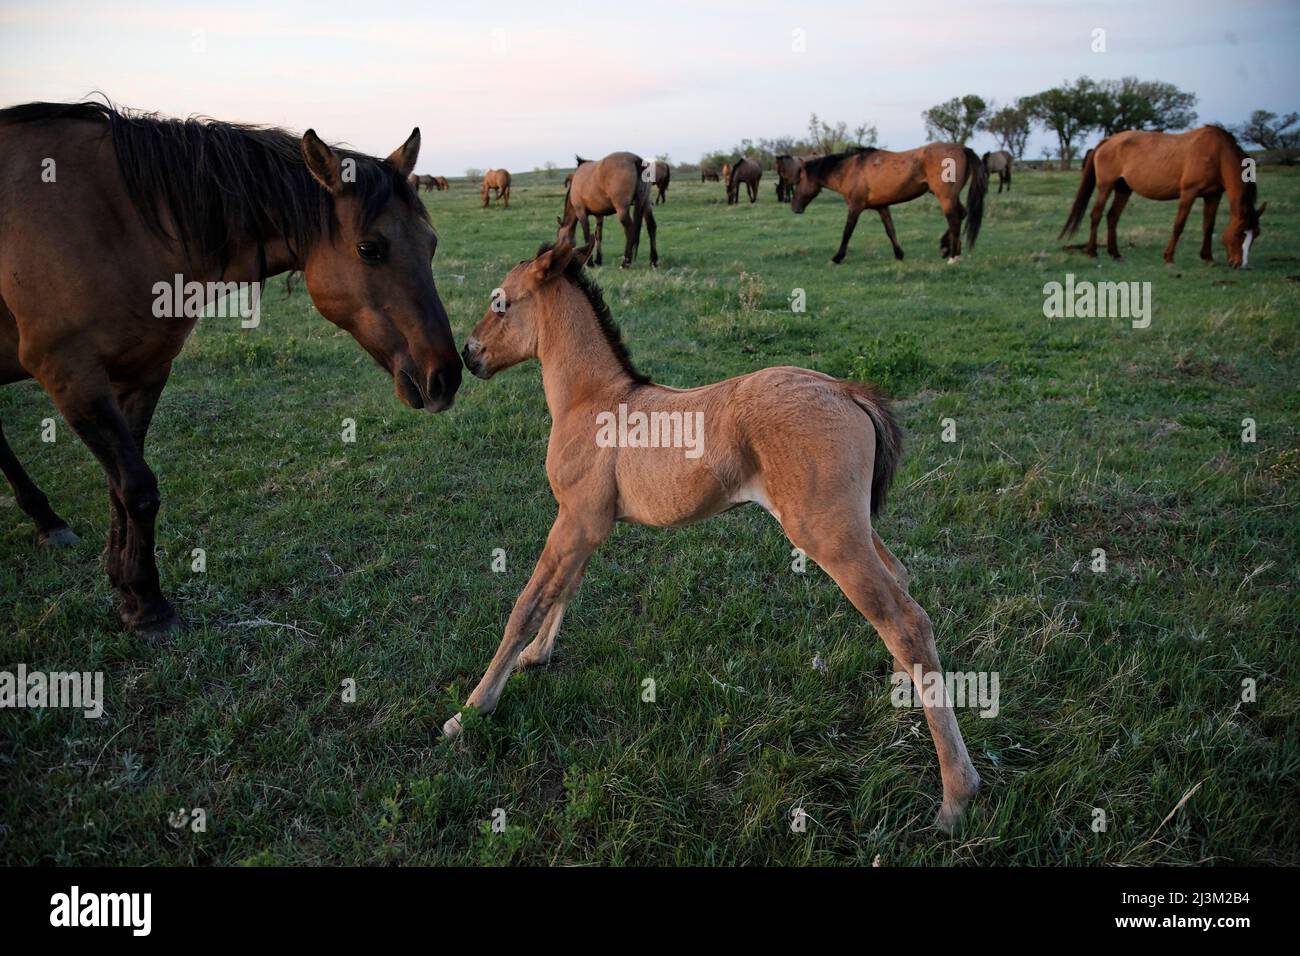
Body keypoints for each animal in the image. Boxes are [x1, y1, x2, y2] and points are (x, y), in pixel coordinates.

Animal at [0, 101, 462, 637]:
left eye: (431, 244)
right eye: (370, 248)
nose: (446, 376)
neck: (118, 221)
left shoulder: (144, 372)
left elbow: (120, 489)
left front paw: (125, 585)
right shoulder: (70, 374)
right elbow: (137, 486)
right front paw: (148, 604)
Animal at [448, 235, 982, 833]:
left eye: (500, 302)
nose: (468, 354)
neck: (594, 400)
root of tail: (847, 391)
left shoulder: (576, 520)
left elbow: (527, 602)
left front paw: (470, 710)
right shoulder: (587, 523)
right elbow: (563, 590)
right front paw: (536, 658)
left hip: (826, 534)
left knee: (905, 620)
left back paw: (956, 797)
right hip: (853, 523)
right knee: (901, 583)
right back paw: (898, 695)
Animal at [791, 144, 988, 263]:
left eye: (798, 181)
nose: (794, 207)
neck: (850, 169)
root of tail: (963, 148)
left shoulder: (855, 207)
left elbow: (847, 232)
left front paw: (837, 257)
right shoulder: (882, 207)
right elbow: (890, 231)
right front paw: (899, 254)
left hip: (945, 198)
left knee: (954, 220)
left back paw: (953, 256)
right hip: (949, 197)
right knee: (962, 214)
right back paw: (946, 249)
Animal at [1059, 126, 1266, 267]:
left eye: (1256, 234)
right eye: (1240, 233)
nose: (1240, 264)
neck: (1217, 153)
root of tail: (1107, 141)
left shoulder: (1213, 196)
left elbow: (1208, 227)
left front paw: (1208, 257)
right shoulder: (1188, 193)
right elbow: (1178, 225)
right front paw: (1169, 257)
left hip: (1124, 189)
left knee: (1112, 217)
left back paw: (1115, 254)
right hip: (1105, 186)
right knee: (1096, 215)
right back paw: (1092, 252)